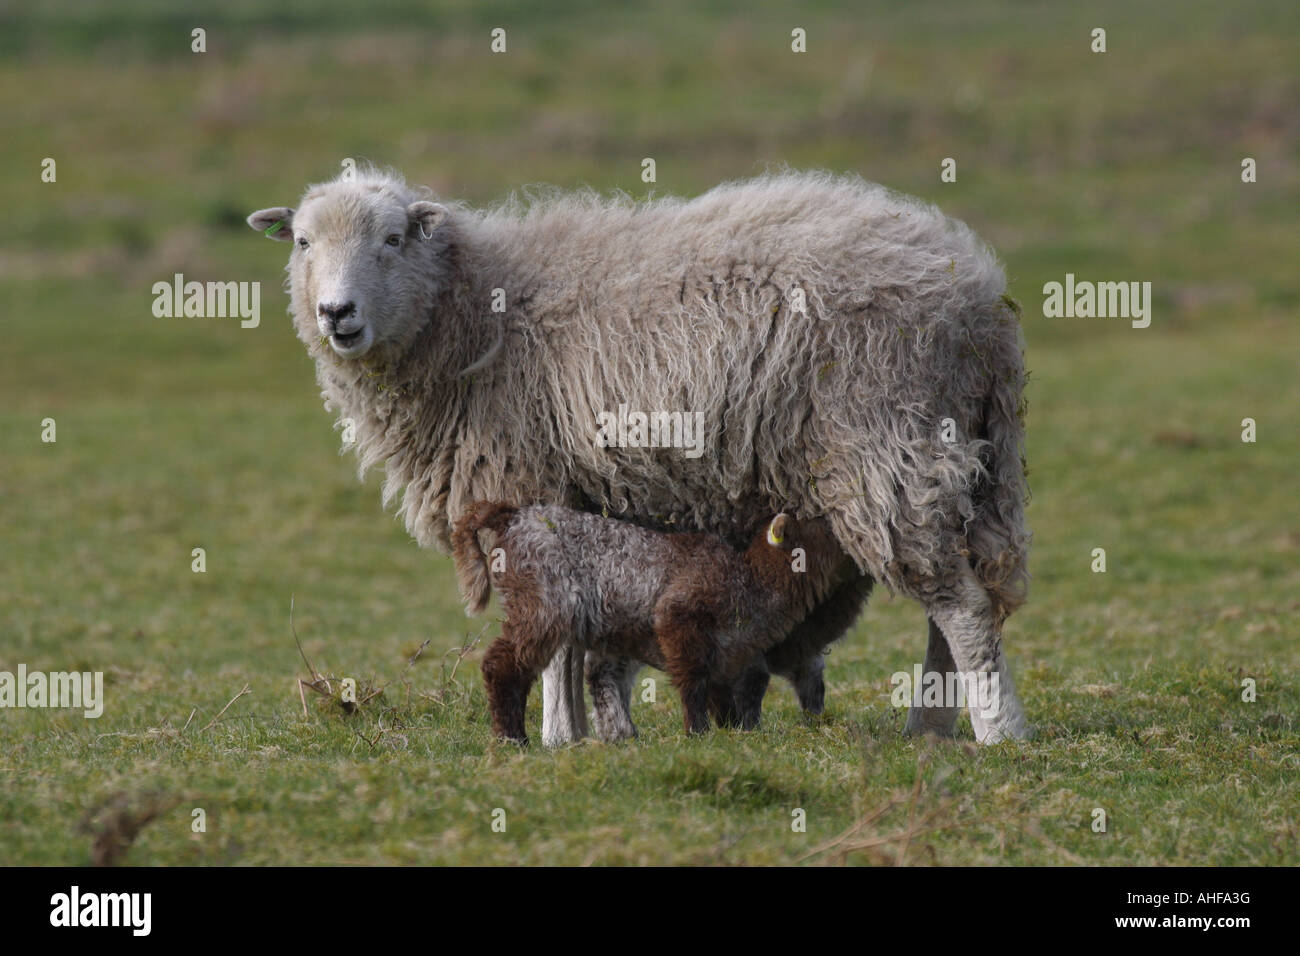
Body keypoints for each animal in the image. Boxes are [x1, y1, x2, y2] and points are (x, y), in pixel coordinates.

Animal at [453, 502, 853, 742]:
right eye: (820, 531)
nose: (846, 536)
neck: (752, 578)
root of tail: (511, 518)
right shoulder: (679, 618)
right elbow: (693, 681)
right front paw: (697, 733)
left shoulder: (730, 652)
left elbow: (725, 692)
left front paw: (730, 732)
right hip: (542, 604)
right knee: (503, 666)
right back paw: (512, 737)